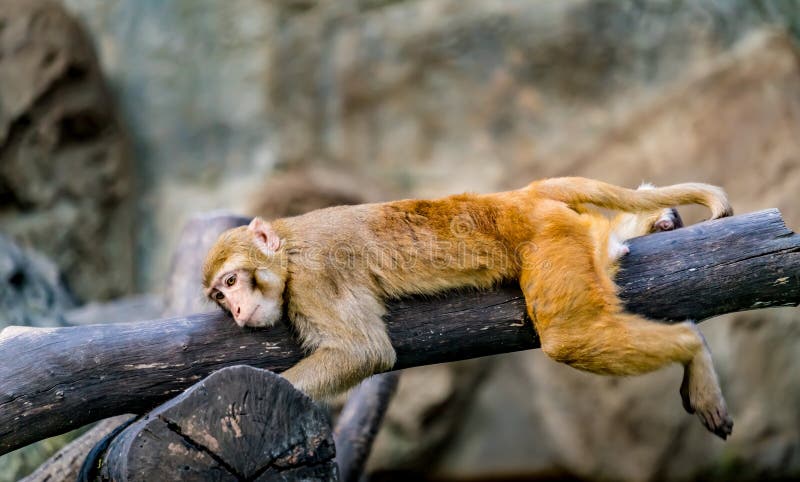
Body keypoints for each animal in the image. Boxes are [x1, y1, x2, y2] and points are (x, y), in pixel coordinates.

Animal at [203, 177, 734, 439]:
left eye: (231, 281)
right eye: (220, 295)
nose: (236, 311)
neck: (288, 247)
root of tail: (523, 195)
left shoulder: (316, 278)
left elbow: (365, 352)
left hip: (547, 237)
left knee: (570, 338)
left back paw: (691, 345)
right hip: (567, 231)